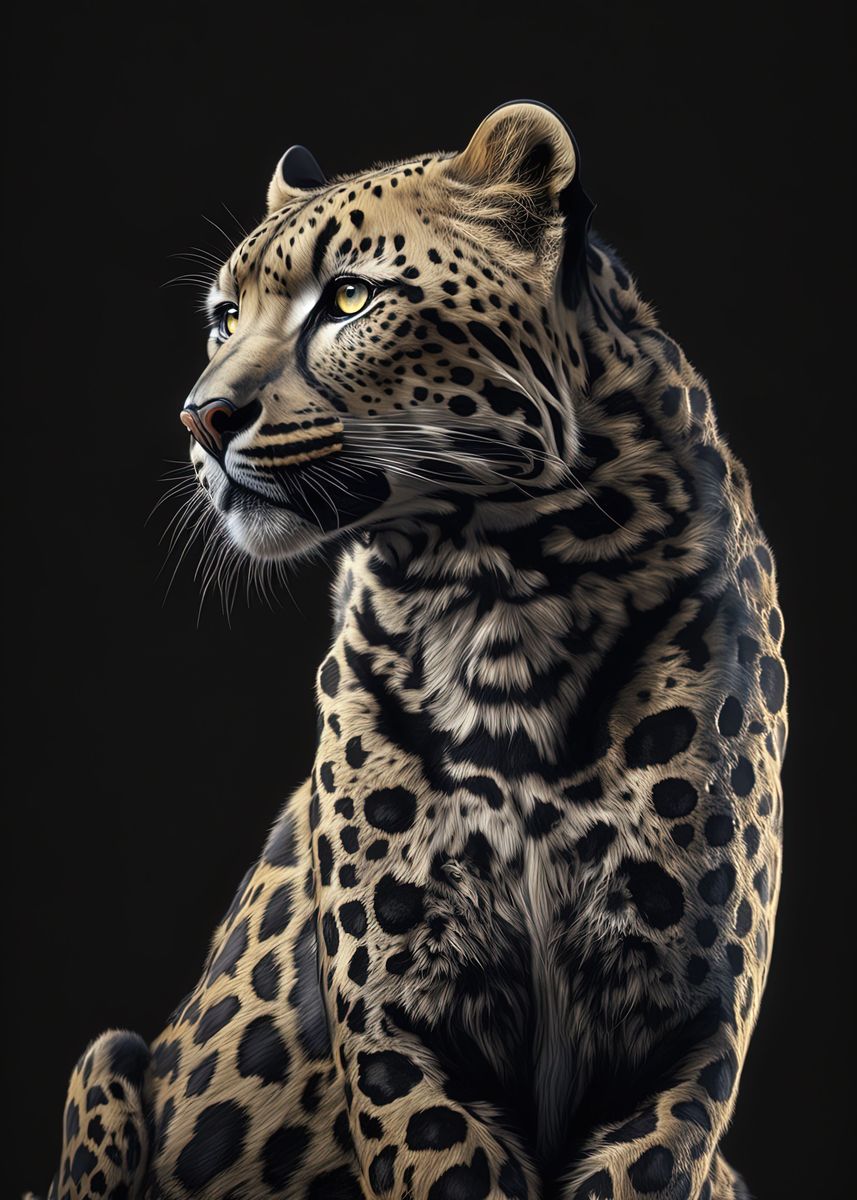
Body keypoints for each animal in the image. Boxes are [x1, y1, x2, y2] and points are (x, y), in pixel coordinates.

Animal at [35, 101, 785, 1200]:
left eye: (347, 297)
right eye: (223, 317)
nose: (201, 417)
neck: (505, 594)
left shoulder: (678, 1043)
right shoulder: (404, 1035)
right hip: (106, 1067)